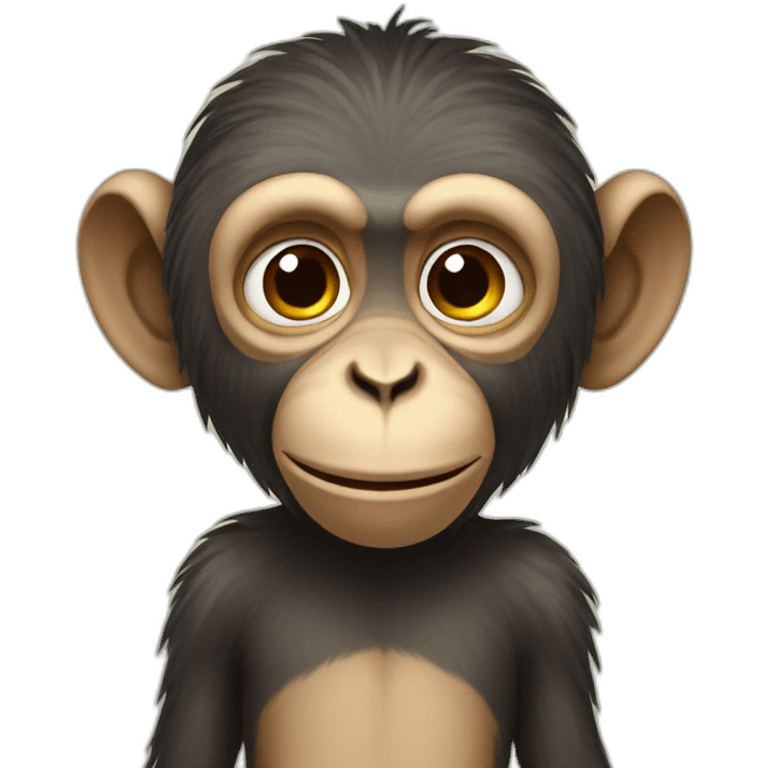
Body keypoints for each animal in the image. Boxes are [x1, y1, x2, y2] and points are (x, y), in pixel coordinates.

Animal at [76, 6, 691, 767]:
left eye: (465, 281)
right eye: (297, 281)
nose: (386, 376)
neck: (383, 571)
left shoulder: (548, 589)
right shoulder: (215, 584)